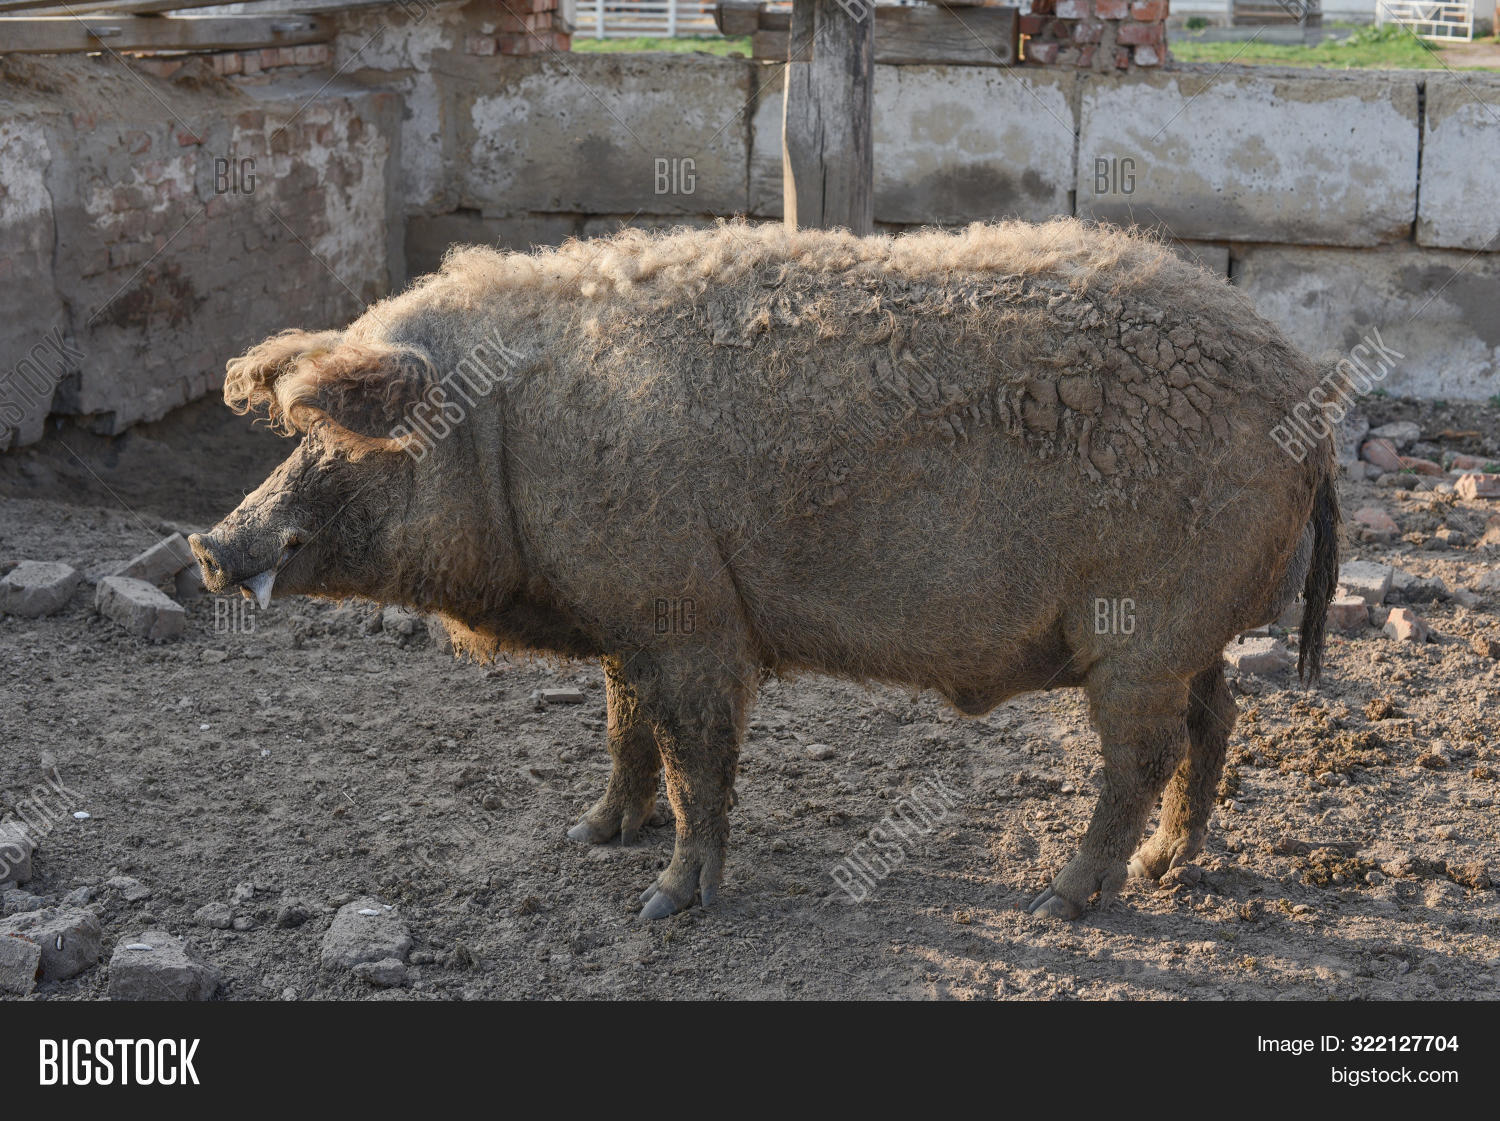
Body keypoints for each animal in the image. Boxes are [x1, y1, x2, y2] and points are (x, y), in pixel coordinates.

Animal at [191, 218, 1339, 920]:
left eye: (342, 436)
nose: (210, 547)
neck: (509, 426)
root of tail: (1310, 396)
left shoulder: (692, 615)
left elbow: (696, 753)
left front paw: (666, 902)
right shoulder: (631, 614)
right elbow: (624, 727)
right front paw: (591, 835)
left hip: (1142, 626)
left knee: (1145, 751)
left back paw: (1064, 897)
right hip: (1189, 629)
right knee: (1218, 716)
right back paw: (1165, 867)